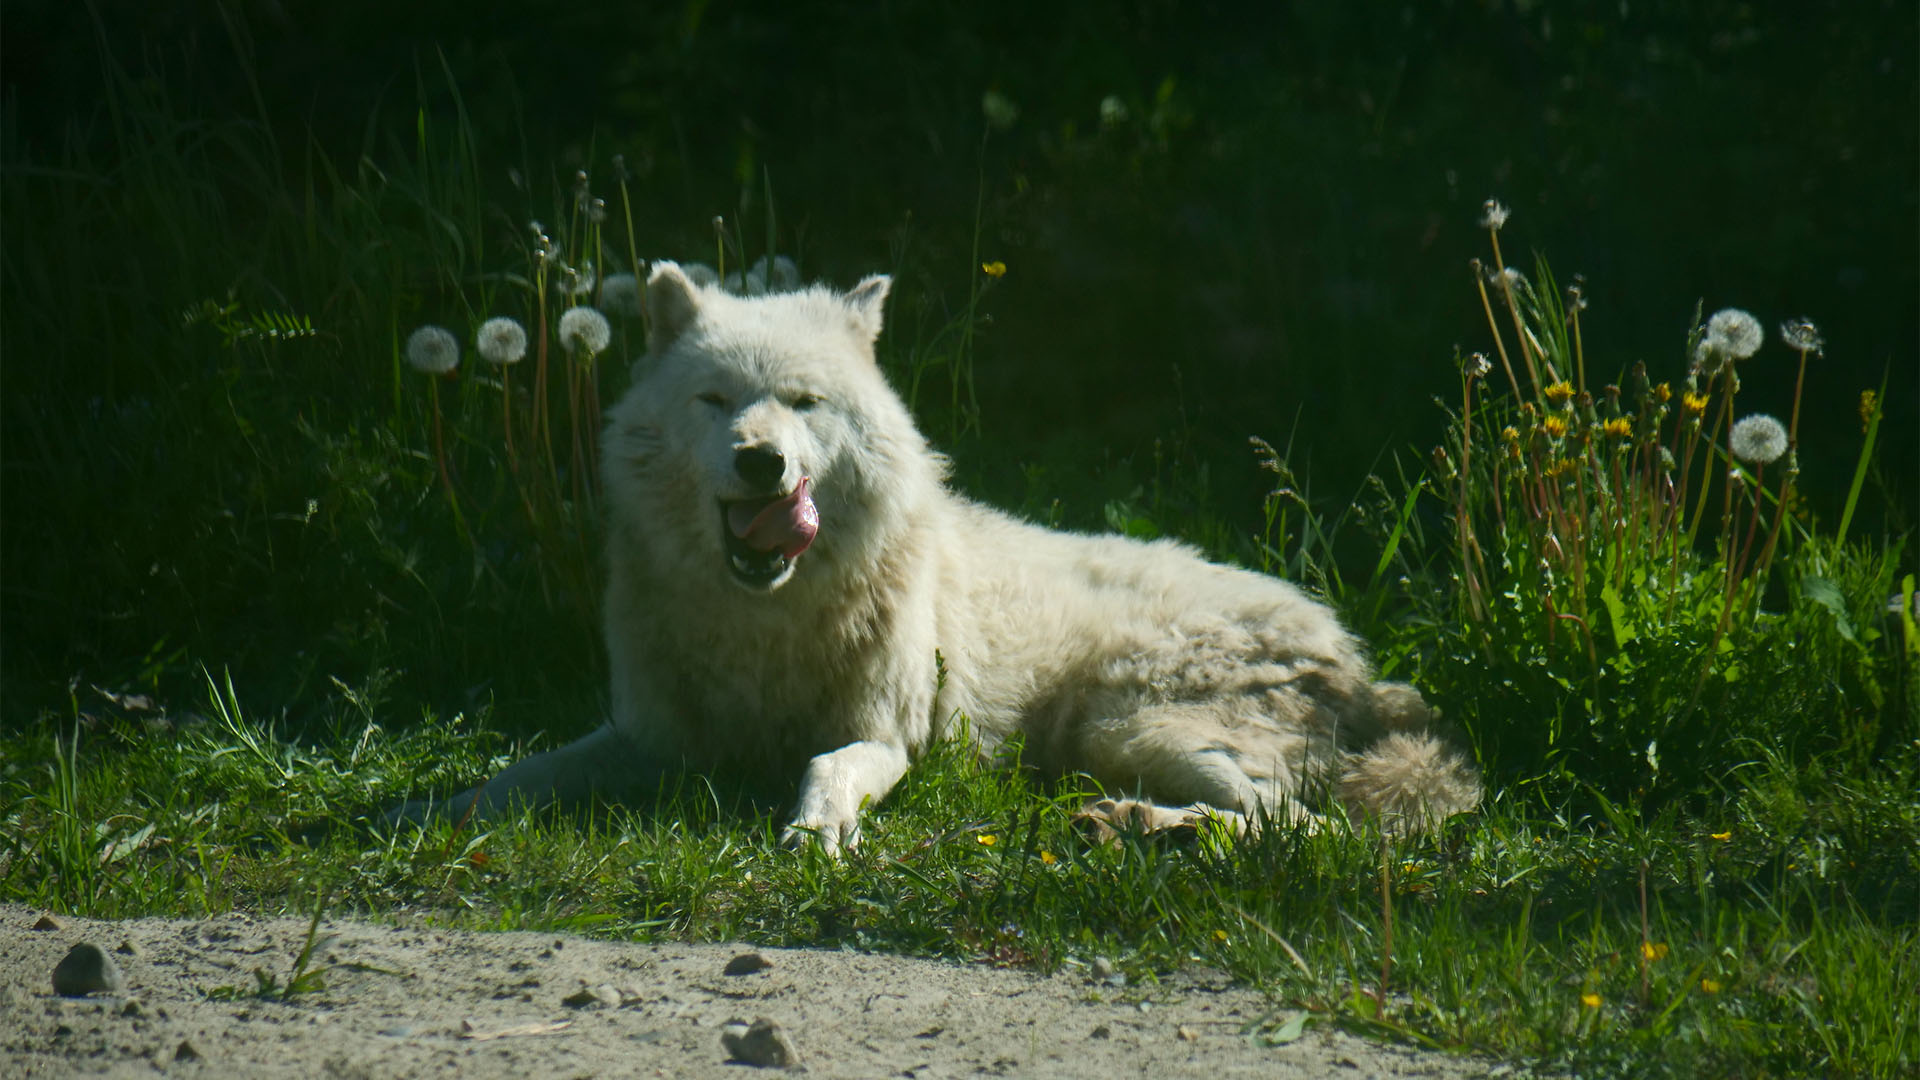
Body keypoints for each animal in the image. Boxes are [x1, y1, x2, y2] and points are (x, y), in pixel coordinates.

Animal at [391, 263, 1480, 853]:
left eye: (805, 404)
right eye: (715, 401)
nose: (761, 460)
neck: (762, 625)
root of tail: (1360, 661)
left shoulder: (887, 739)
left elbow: (825, 767)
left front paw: (818, 829)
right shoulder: (649, 740)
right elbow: (512, 778)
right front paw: (421, 808)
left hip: (1129, 727)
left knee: (1305, 829)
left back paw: (1136, 828)